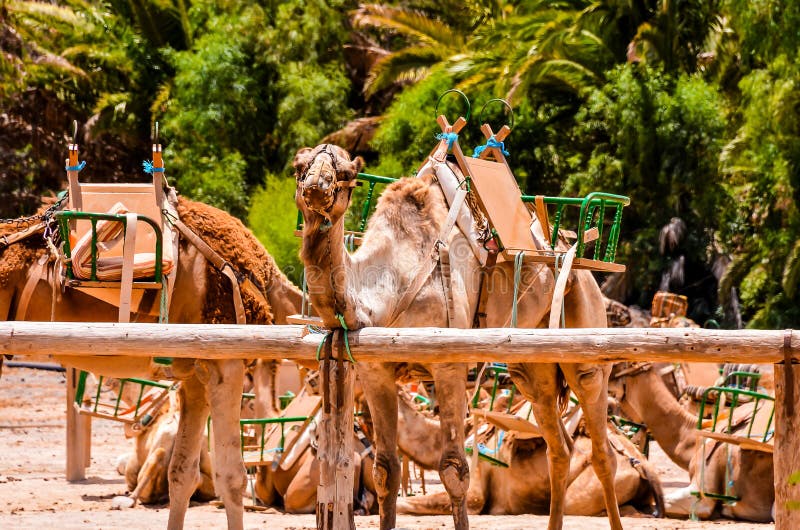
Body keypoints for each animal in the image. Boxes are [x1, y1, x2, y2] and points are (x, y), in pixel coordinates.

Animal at [294, 143, 622, 530]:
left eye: (346, 174)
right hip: (531, 367)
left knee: (601, 450)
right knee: (559, 448)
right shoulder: (375, 371)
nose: (316, 188)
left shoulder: (448, 365)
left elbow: (454, 470)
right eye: (299, 167)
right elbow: (385, 470)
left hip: (585, 341)